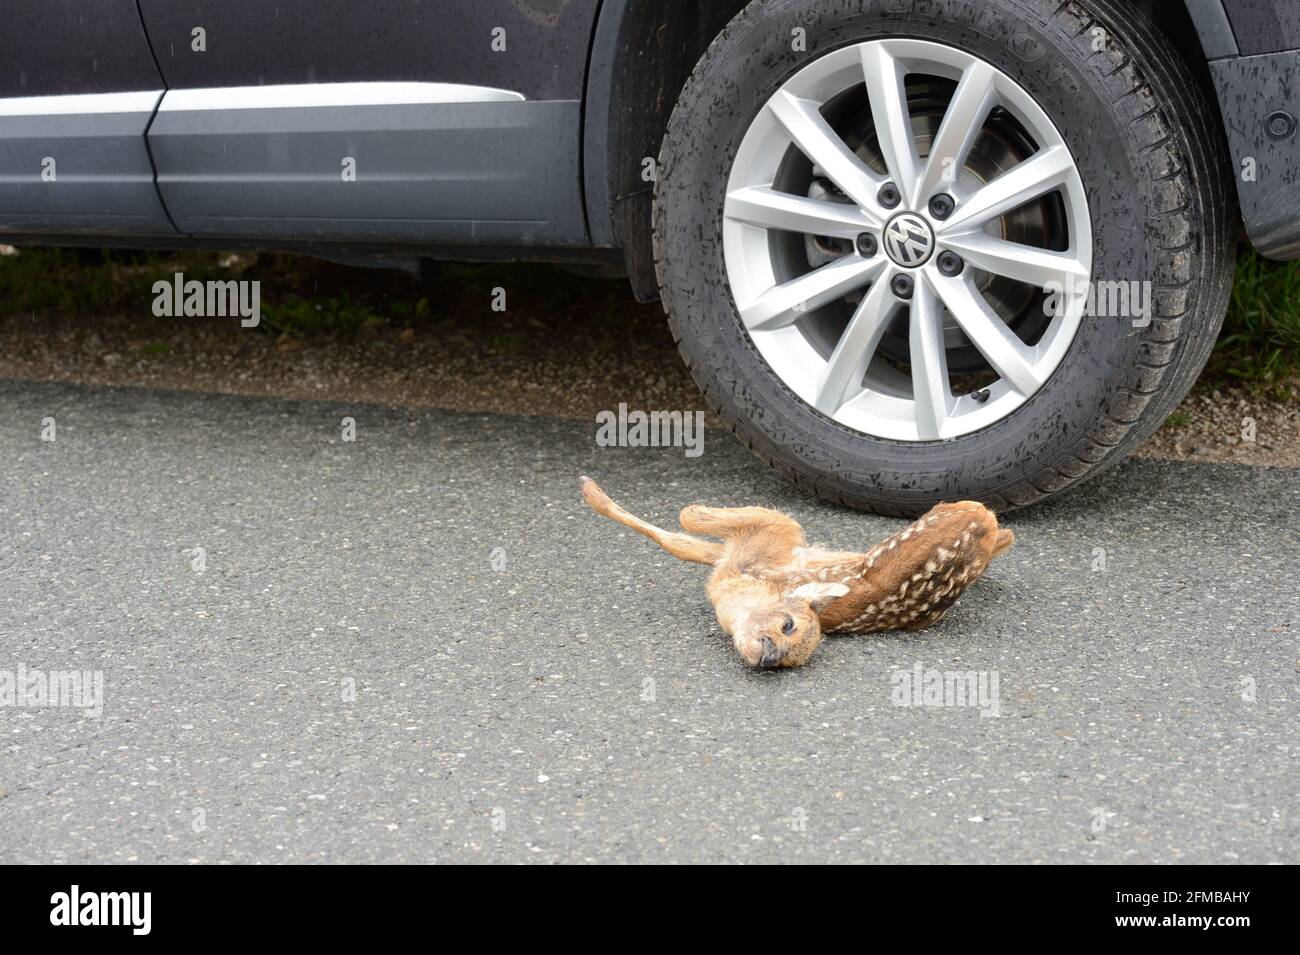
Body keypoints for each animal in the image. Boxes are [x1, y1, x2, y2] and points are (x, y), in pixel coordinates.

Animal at [580, 477, 1014, 669]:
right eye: (787, 624)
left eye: (789, 662)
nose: (769, 658)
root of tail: (984, 518)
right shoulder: (761, 549)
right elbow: (684, 532)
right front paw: (590, 489)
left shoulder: (763, 543)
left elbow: (682, 530)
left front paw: (591, 491)